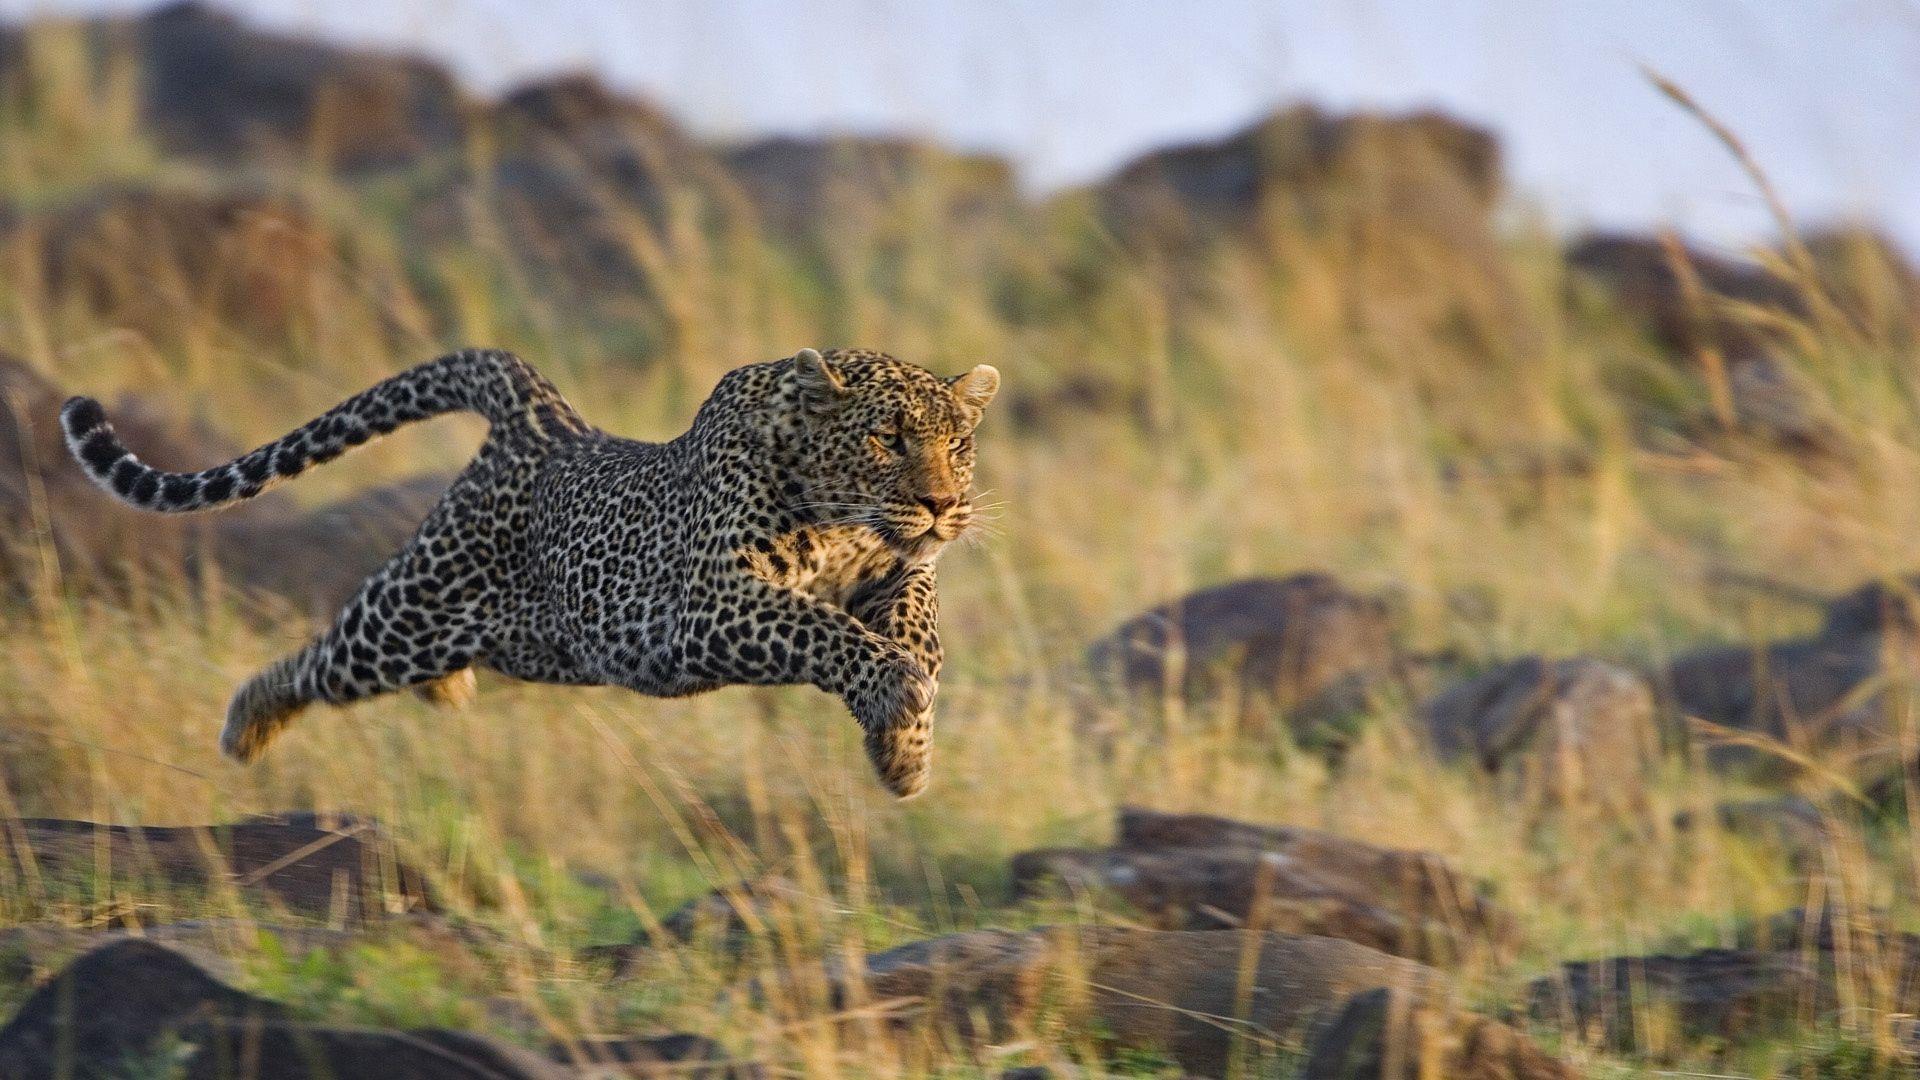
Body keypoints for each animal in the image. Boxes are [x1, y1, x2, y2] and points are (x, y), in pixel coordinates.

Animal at [60, 347, 999, 798]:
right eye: (887, 438)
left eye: (959, 443)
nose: (944, 503)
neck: (841, 517)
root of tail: (543, 418)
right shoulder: (706, 605)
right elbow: (818, 627)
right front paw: (894, 692)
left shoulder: (894, 571)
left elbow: (917, 616)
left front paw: (905, 743)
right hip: (408, 615)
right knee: (321, 659)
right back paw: (248, 724)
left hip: (532, 642)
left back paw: (444, 692)